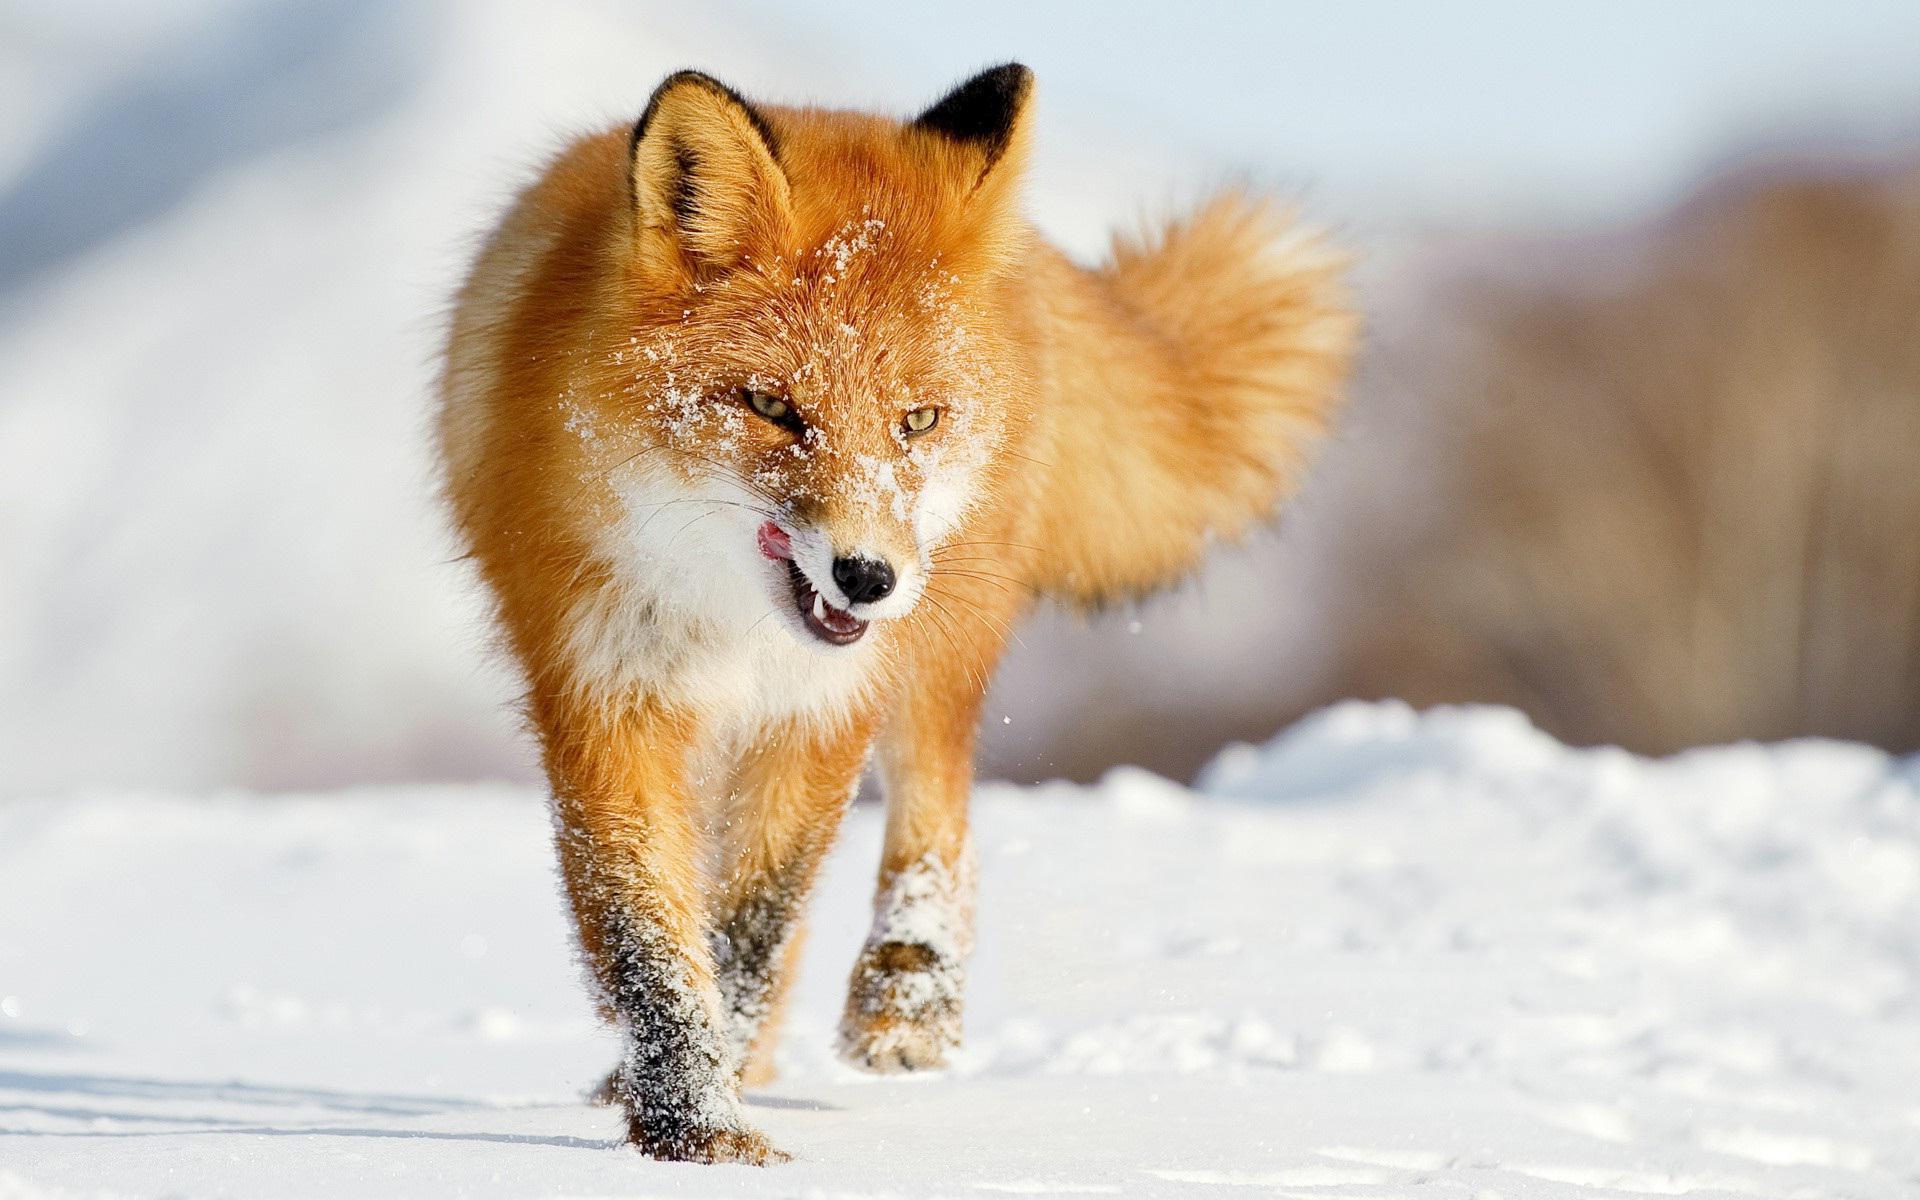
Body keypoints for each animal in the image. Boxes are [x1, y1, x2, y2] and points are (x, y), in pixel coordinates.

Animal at [437, 63, 1354, 1164]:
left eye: (916, 420)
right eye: (773, 408)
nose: (866, 576)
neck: (732, 629)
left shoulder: (820, 710)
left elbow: (753, 925)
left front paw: (705, 1112)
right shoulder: (606, 695)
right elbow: (651, 936)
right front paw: (694, 1124)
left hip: (940, 642)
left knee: (938, 808)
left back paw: (907, 999)